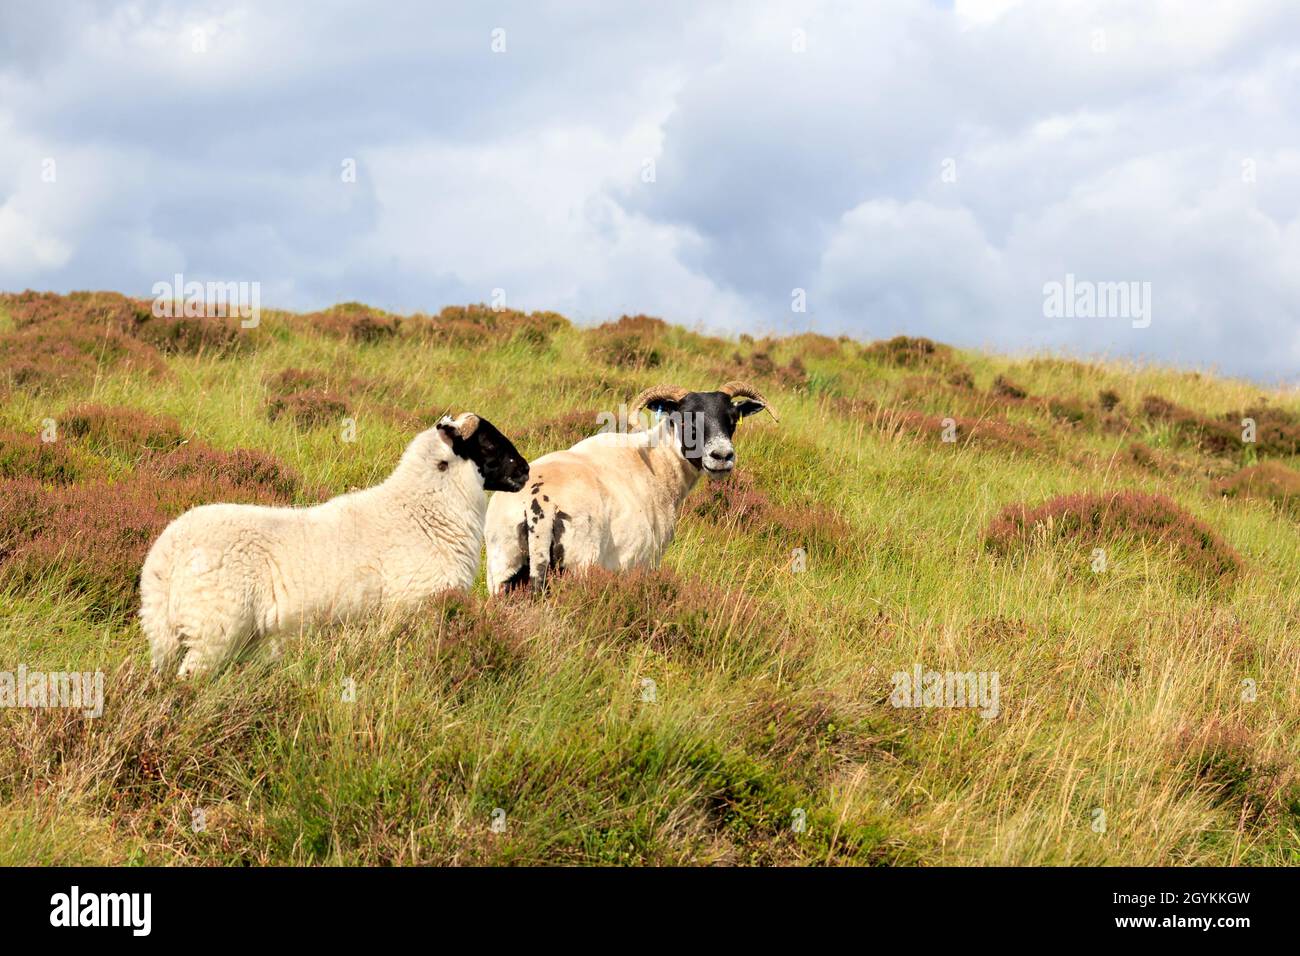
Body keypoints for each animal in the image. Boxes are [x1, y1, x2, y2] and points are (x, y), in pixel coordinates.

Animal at [140, 413, 529, 678]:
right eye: (488, 443)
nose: (525, 470)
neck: (420, 511)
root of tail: (166, 553)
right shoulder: (412, 608)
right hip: (212, 630)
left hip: (167, 636)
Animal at [485, 381, 777, 592]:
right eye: (685, 419)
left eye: (732, 419)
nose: (722, 456)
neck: (659, 463)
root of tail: (539, 506)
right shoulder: (645, 562)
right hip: (579, 565)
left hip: (502, 568)